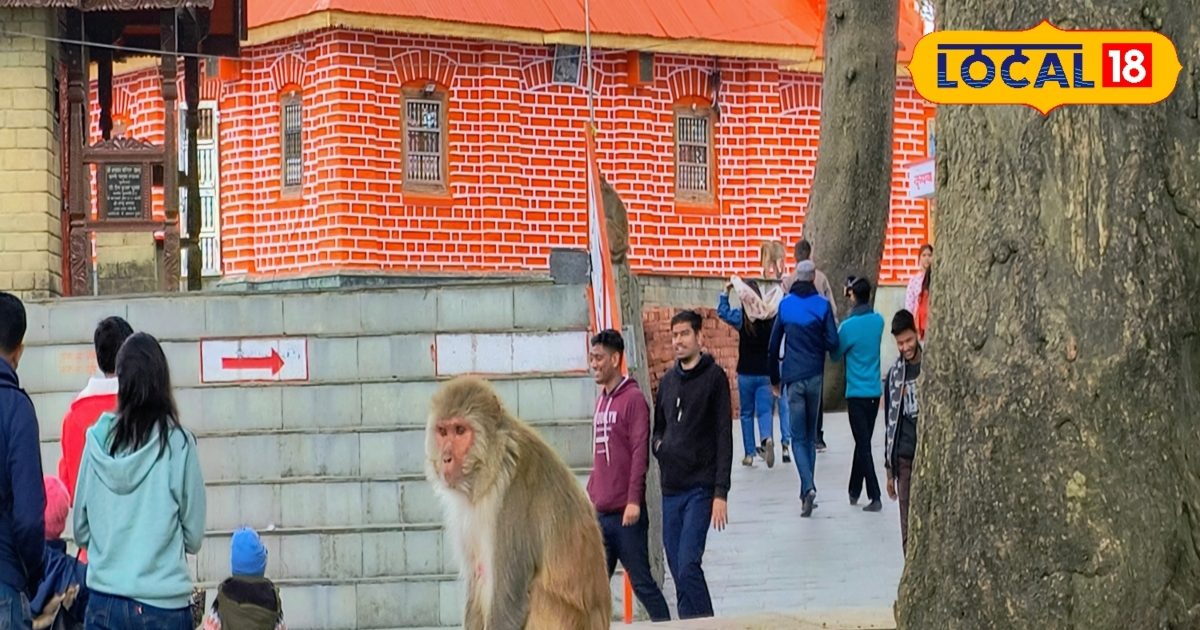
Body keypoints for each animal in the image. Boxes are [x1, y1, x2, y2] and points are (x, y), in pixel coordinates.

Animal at [425, 376, 612, 630]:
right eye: (443, 432)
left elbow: (508, 603)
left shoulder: (514, 501)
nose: (446, 458)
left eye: (460, 431)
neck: (495, 468)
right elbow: (477, 580)